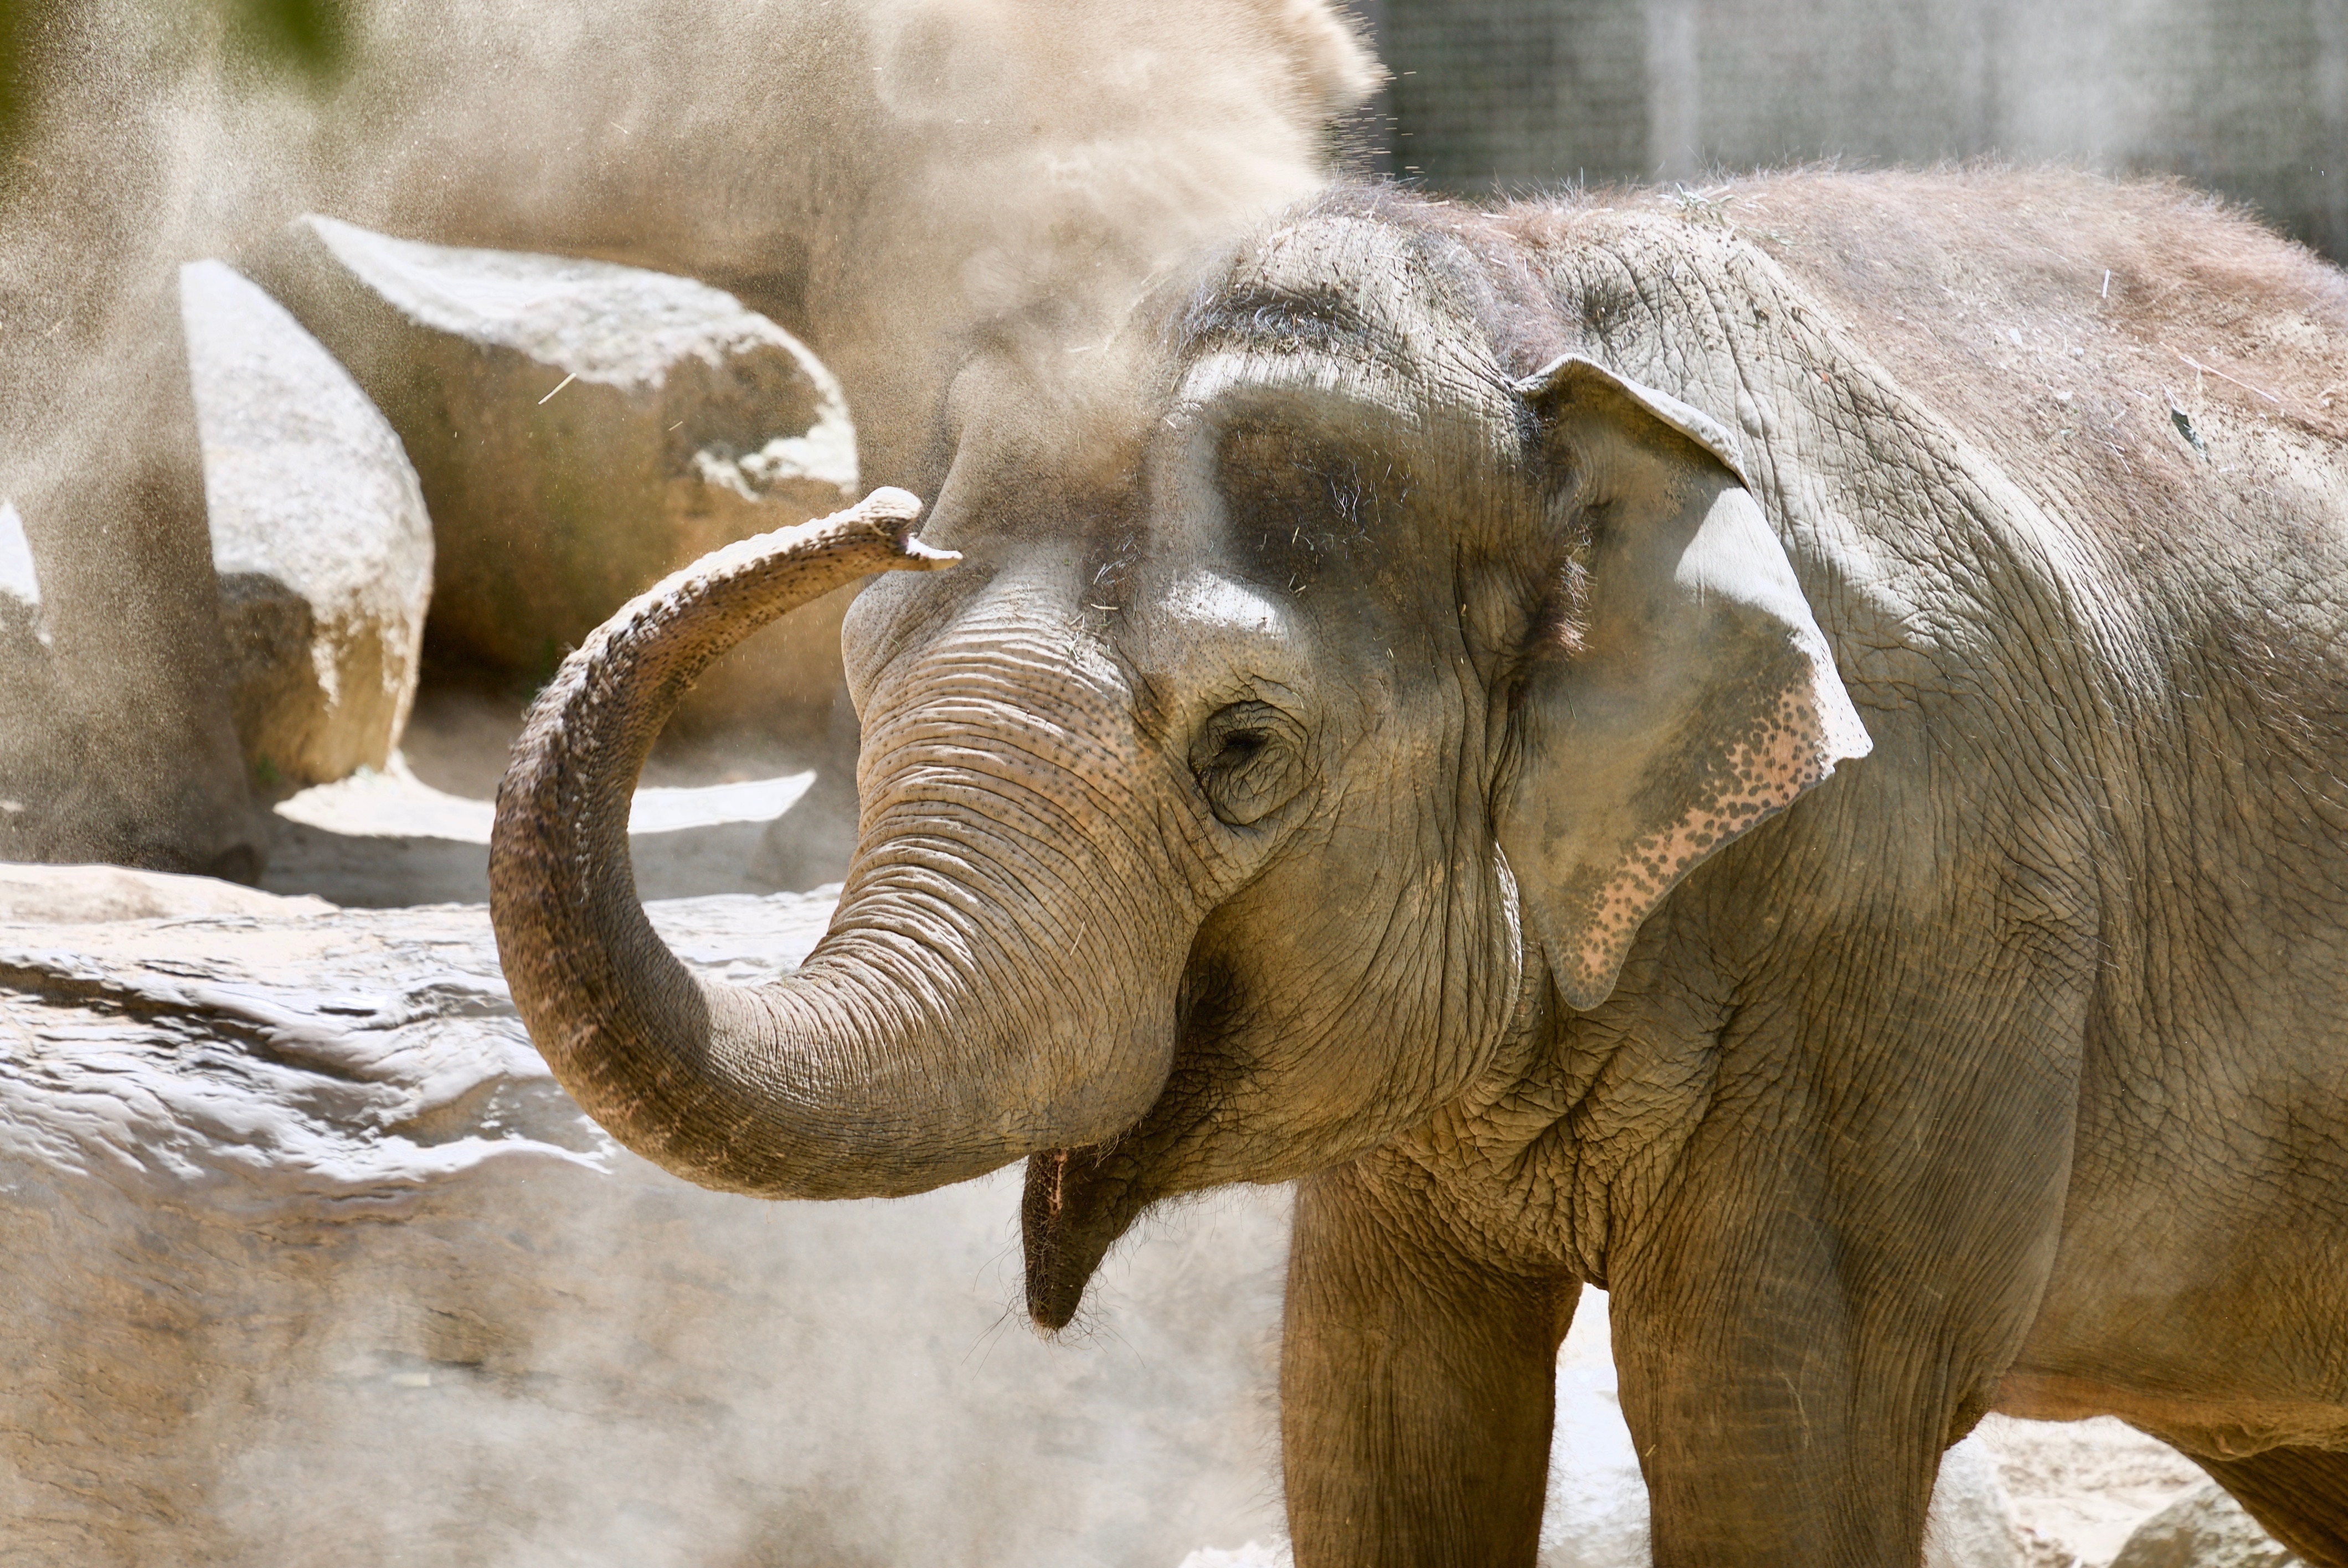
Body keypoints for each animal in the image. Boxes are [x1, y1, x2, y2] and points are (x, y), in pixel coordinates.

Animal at [489, 167, 2348, 1566]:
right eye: (867, 673)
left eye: (1244, 748)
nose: (874, 513)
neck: (1527, 316)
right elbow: (1380, 1406)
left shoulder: (1923, 903)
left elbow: (1777, 1430)